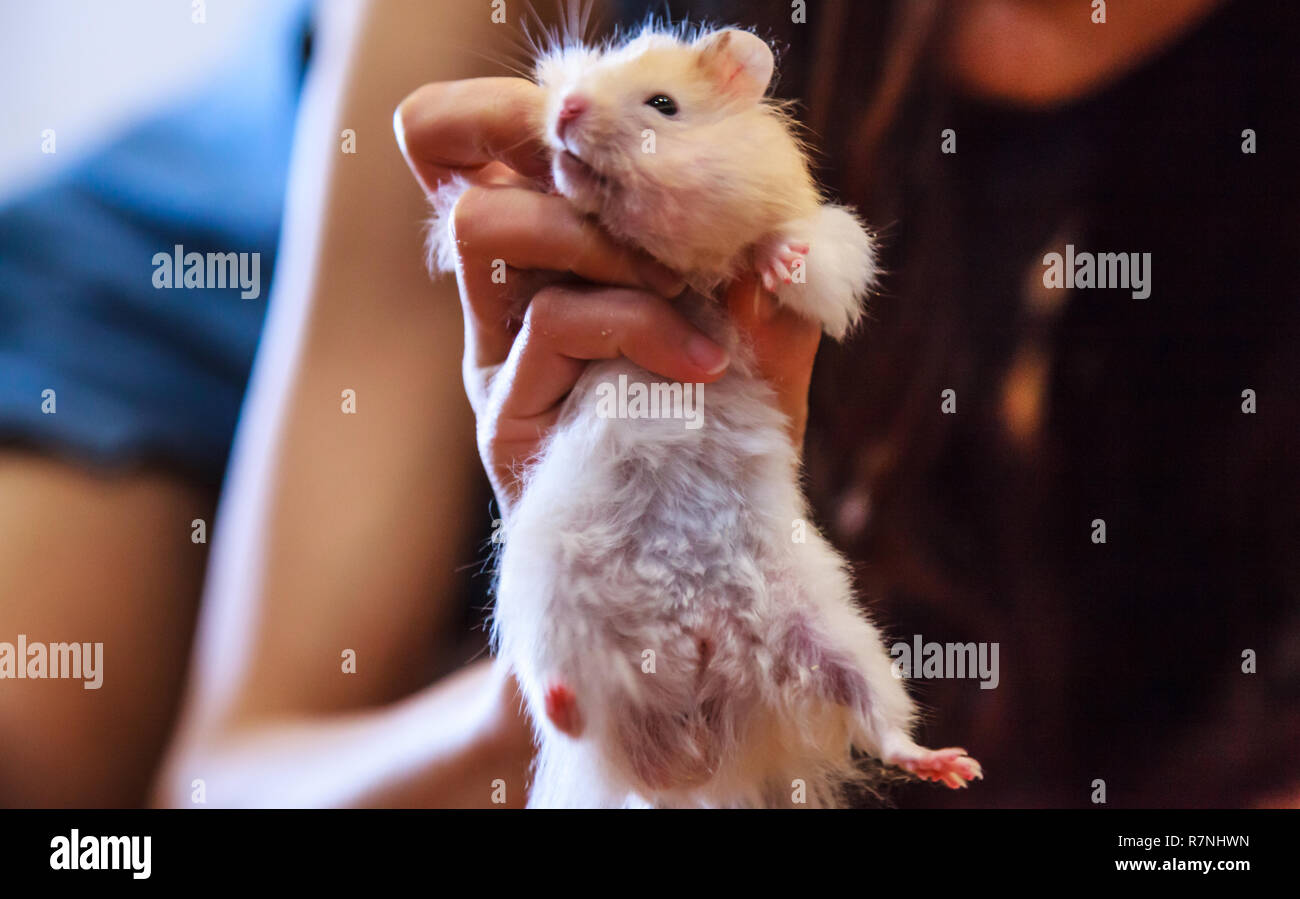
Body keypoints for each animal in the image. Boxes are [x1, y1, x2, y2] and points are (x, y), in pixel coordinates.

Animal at [429, 22, 981, 807]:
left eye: (663, 104)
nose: (565, 110)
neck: (685, 274)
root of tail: (698, 738)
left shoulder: (827, 246)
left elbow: (803, 254)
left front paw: (778, 261)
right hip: (543, 594)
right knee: (570, 709)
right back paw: (571, 697)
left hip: (841, 636)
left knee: (880, 723)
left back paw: (954, 765)